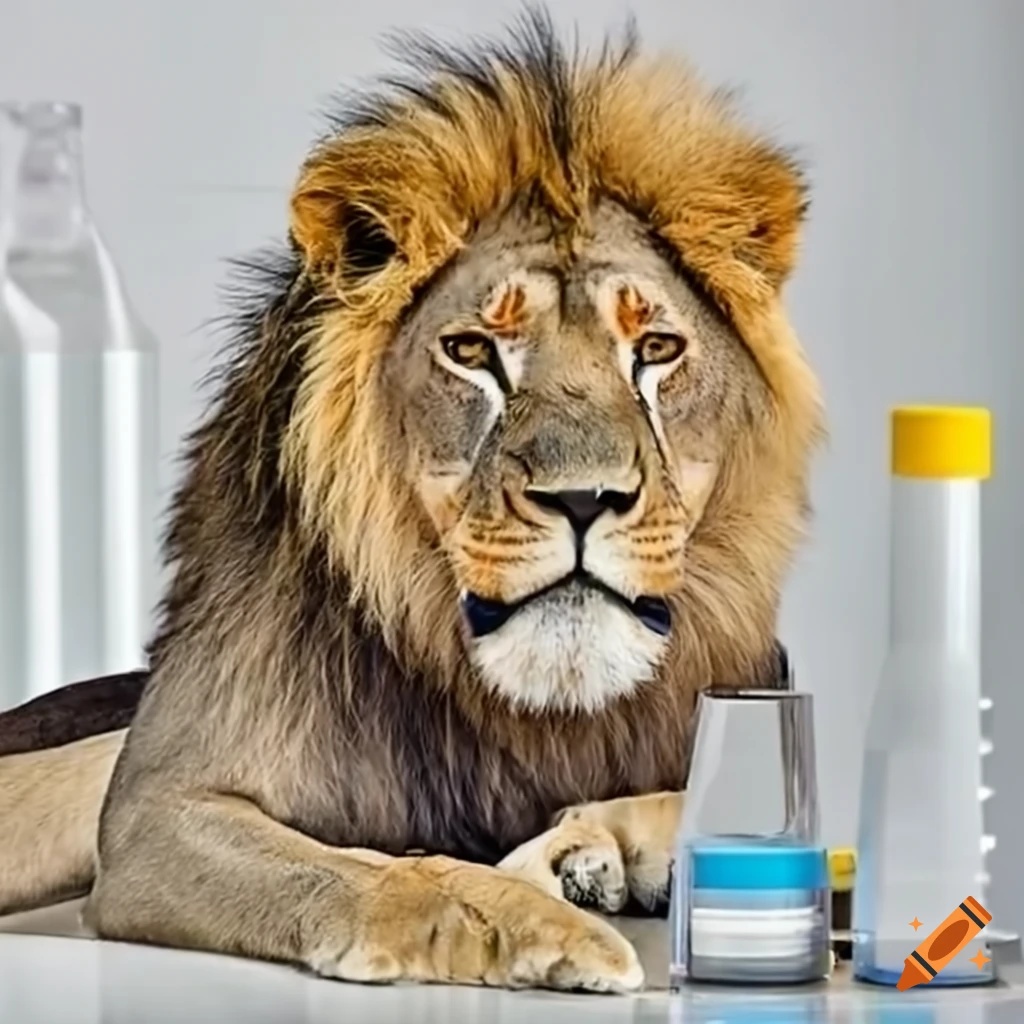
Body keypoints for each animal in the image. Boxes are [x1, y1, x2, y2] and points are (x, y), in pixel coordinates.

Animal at [0, 7, 823, 993]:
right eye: (471, 353)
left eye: (656, 349)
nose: (584, 500)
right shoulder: (158, 810)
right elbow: (378, 872)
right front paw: (541, 921)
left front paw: (581, 859)